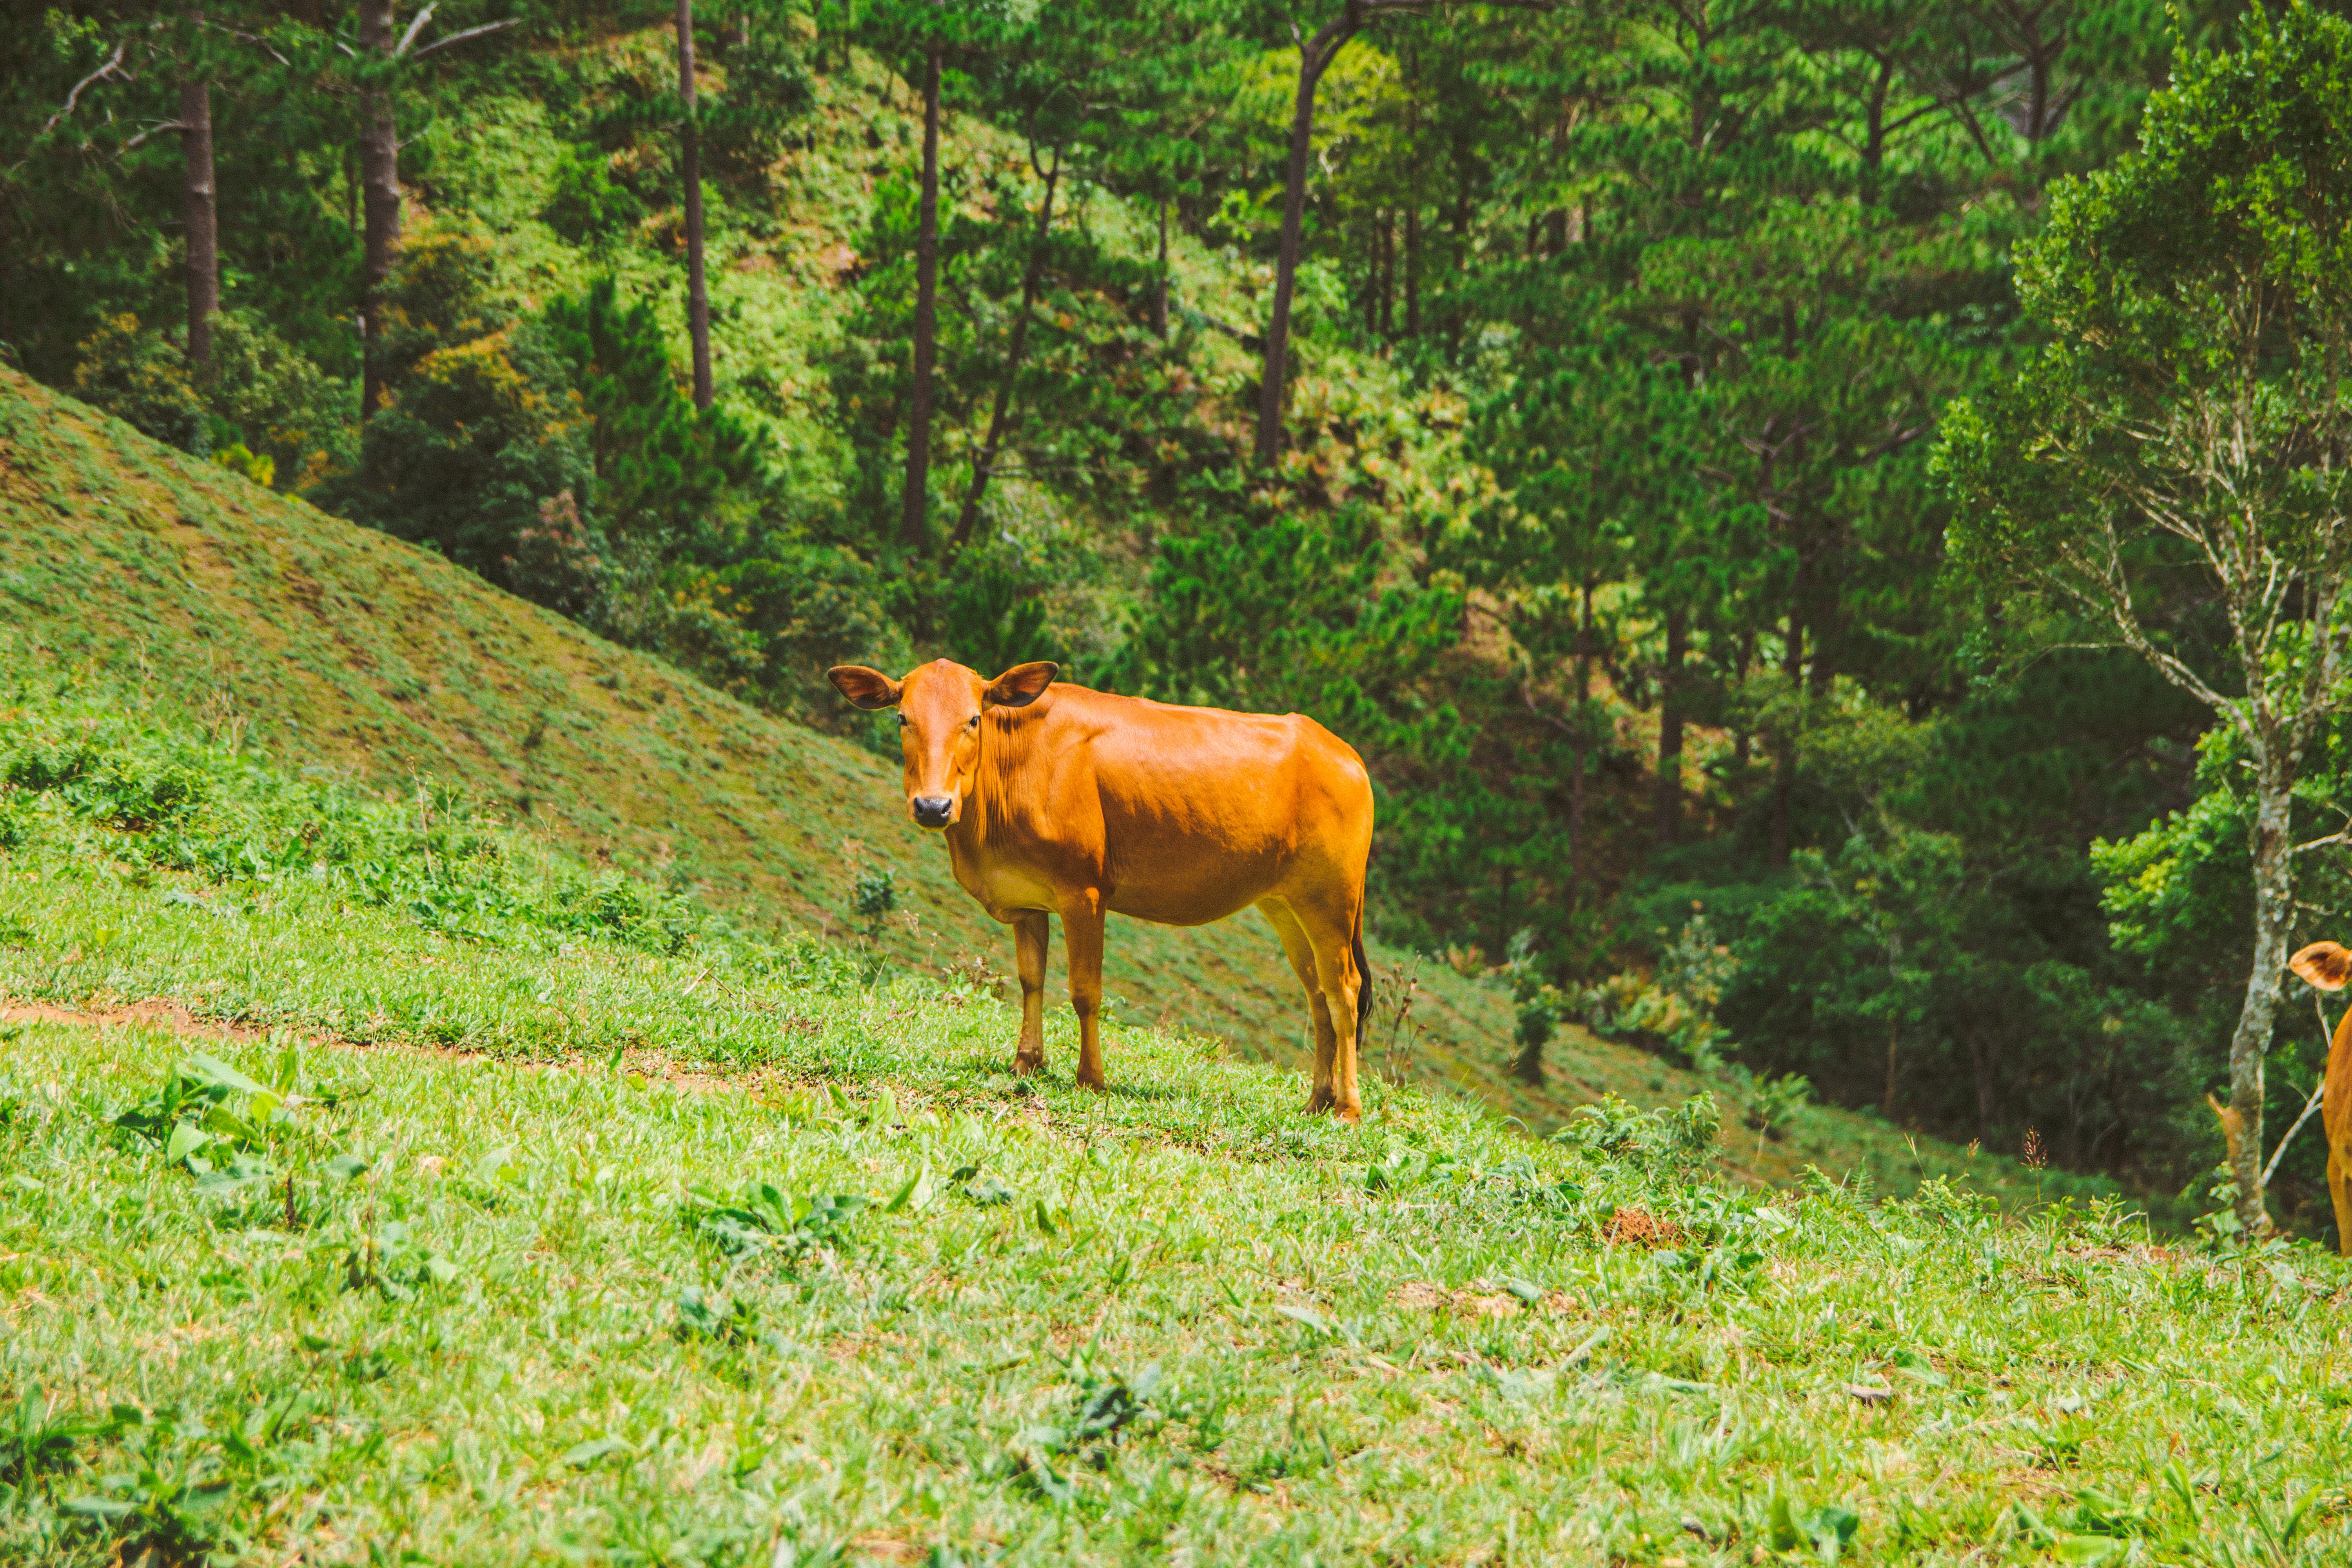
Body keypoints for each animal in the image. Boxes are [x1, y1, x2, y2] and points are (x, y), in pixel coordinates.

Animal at [826, 658, 1377, 1120]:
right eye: (902, 718)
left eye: (974, 719)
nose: (932, 806)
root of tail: (1344, 751)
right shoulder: (1028, 899)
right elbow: (1031, 980)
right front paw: (1027, 1061)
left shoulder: (1085, 892)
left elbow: (1084, 991)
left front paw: (1090, 1077)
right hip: (1287, 904)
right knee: (1318, 995)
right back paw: (1316, 1100)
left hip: (1331, 899)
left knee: (1345, 992)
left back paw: (1348, 1107)